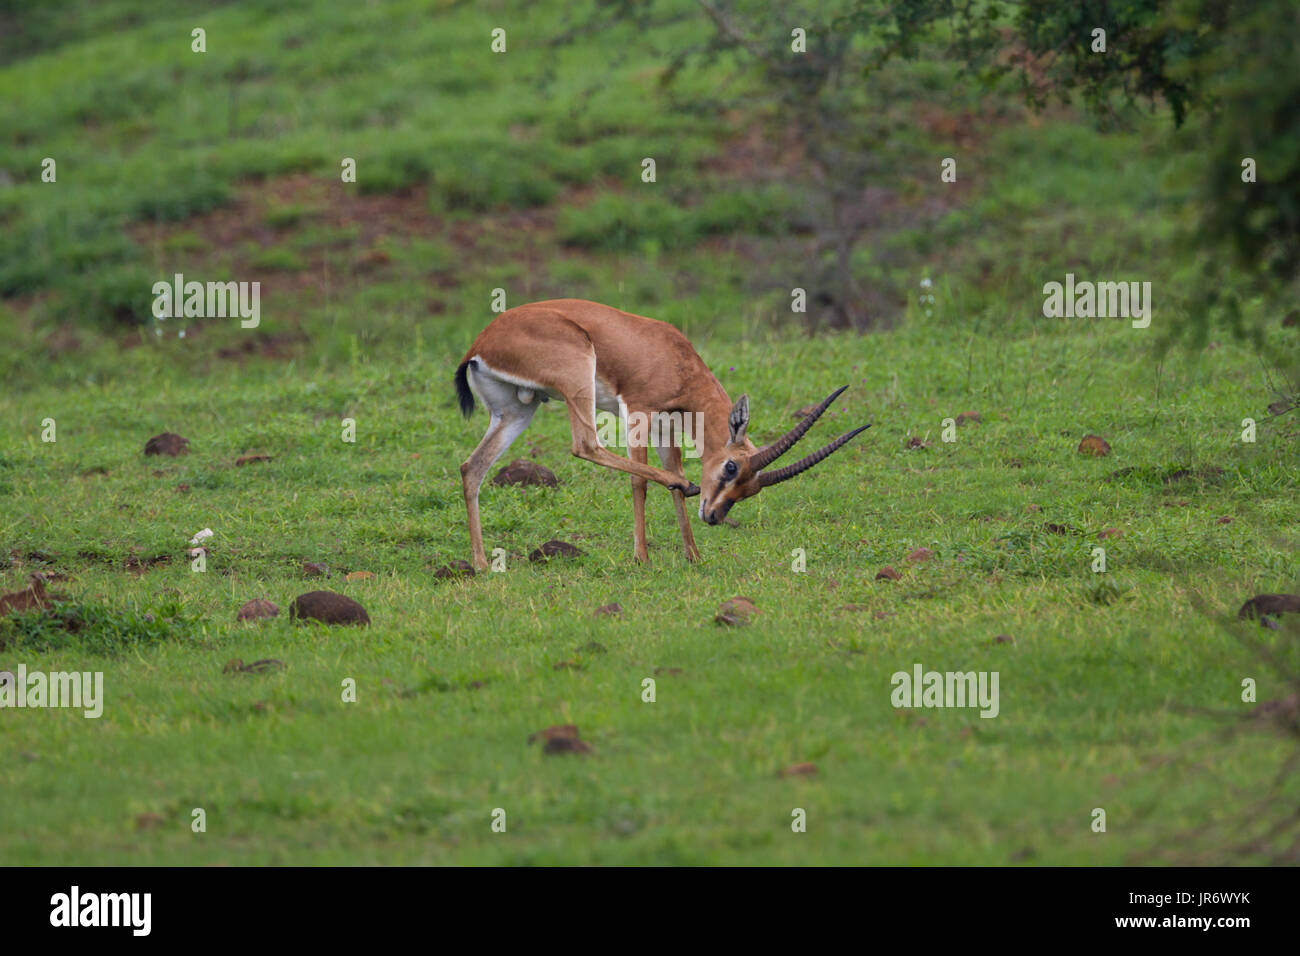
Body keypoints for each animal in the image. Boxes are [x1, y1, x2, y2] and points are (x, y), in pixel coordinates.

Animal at [454, 299, 869, 569]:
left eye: (751, 490)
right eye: (731, 467)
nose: (714, 516)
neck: (673, 359)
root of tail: (480, 343)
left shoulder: (665, 428)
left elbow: (673, 476)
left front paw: (694, 556)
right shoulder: (638, 413)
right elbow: (642, 483)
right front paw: (642, 556)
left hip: (517, 410)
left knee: (472, 467)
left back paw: (481, 563)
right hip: (577, 380)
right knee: (586, 445)